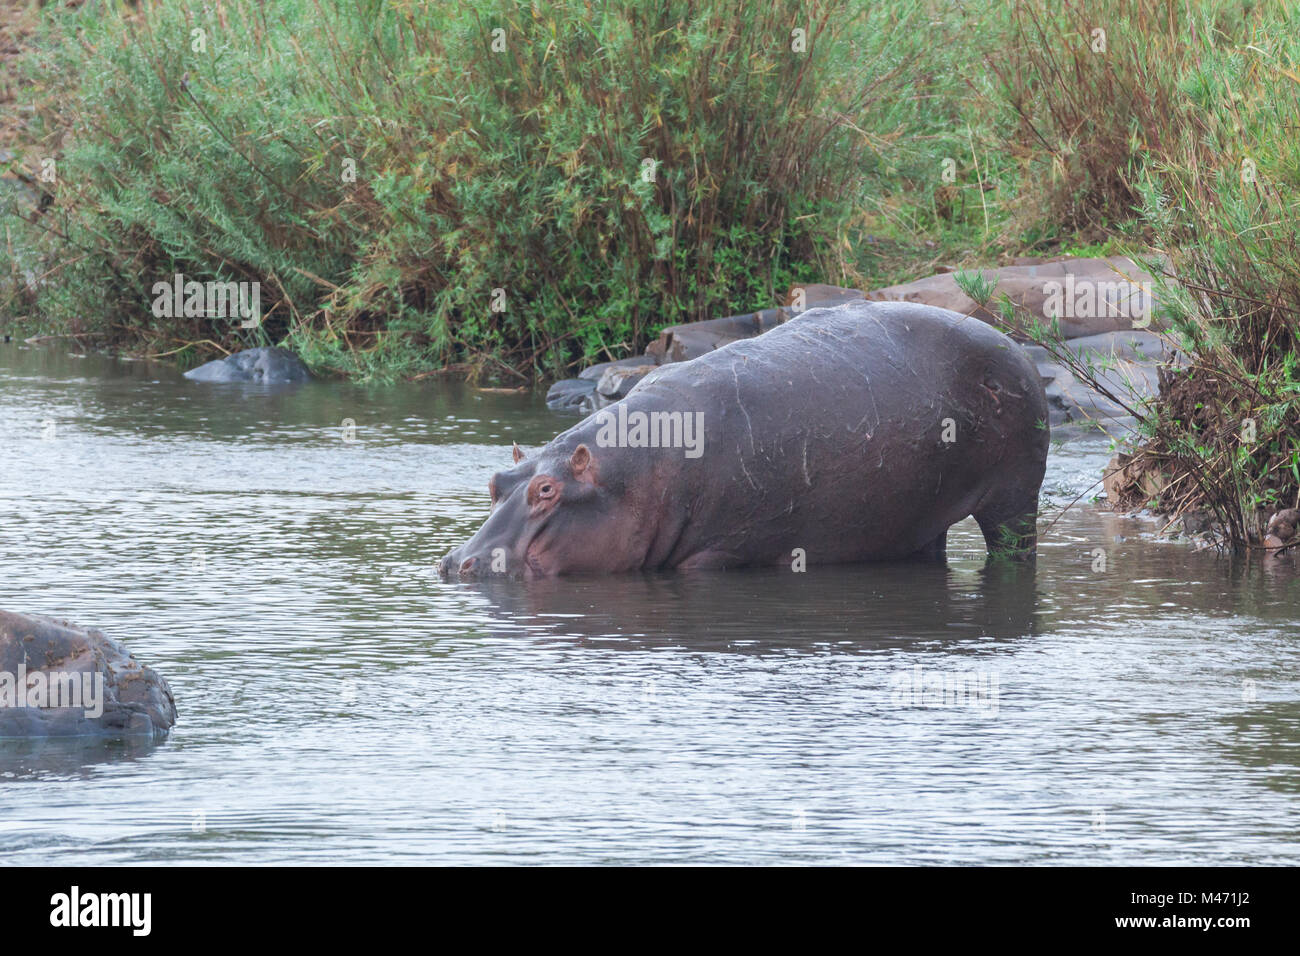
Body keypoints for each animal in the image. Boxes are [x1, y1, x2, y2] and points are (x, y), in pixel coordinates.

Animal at [440, 301, 1049, 578]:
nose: (458, 561)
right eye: (496, 481)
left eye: (547, 491)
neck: (634, 476)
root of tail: (1011, 340)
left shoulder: (719, 551)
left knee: (1014, 543)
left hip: (1015, 497)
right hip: (916, 520)